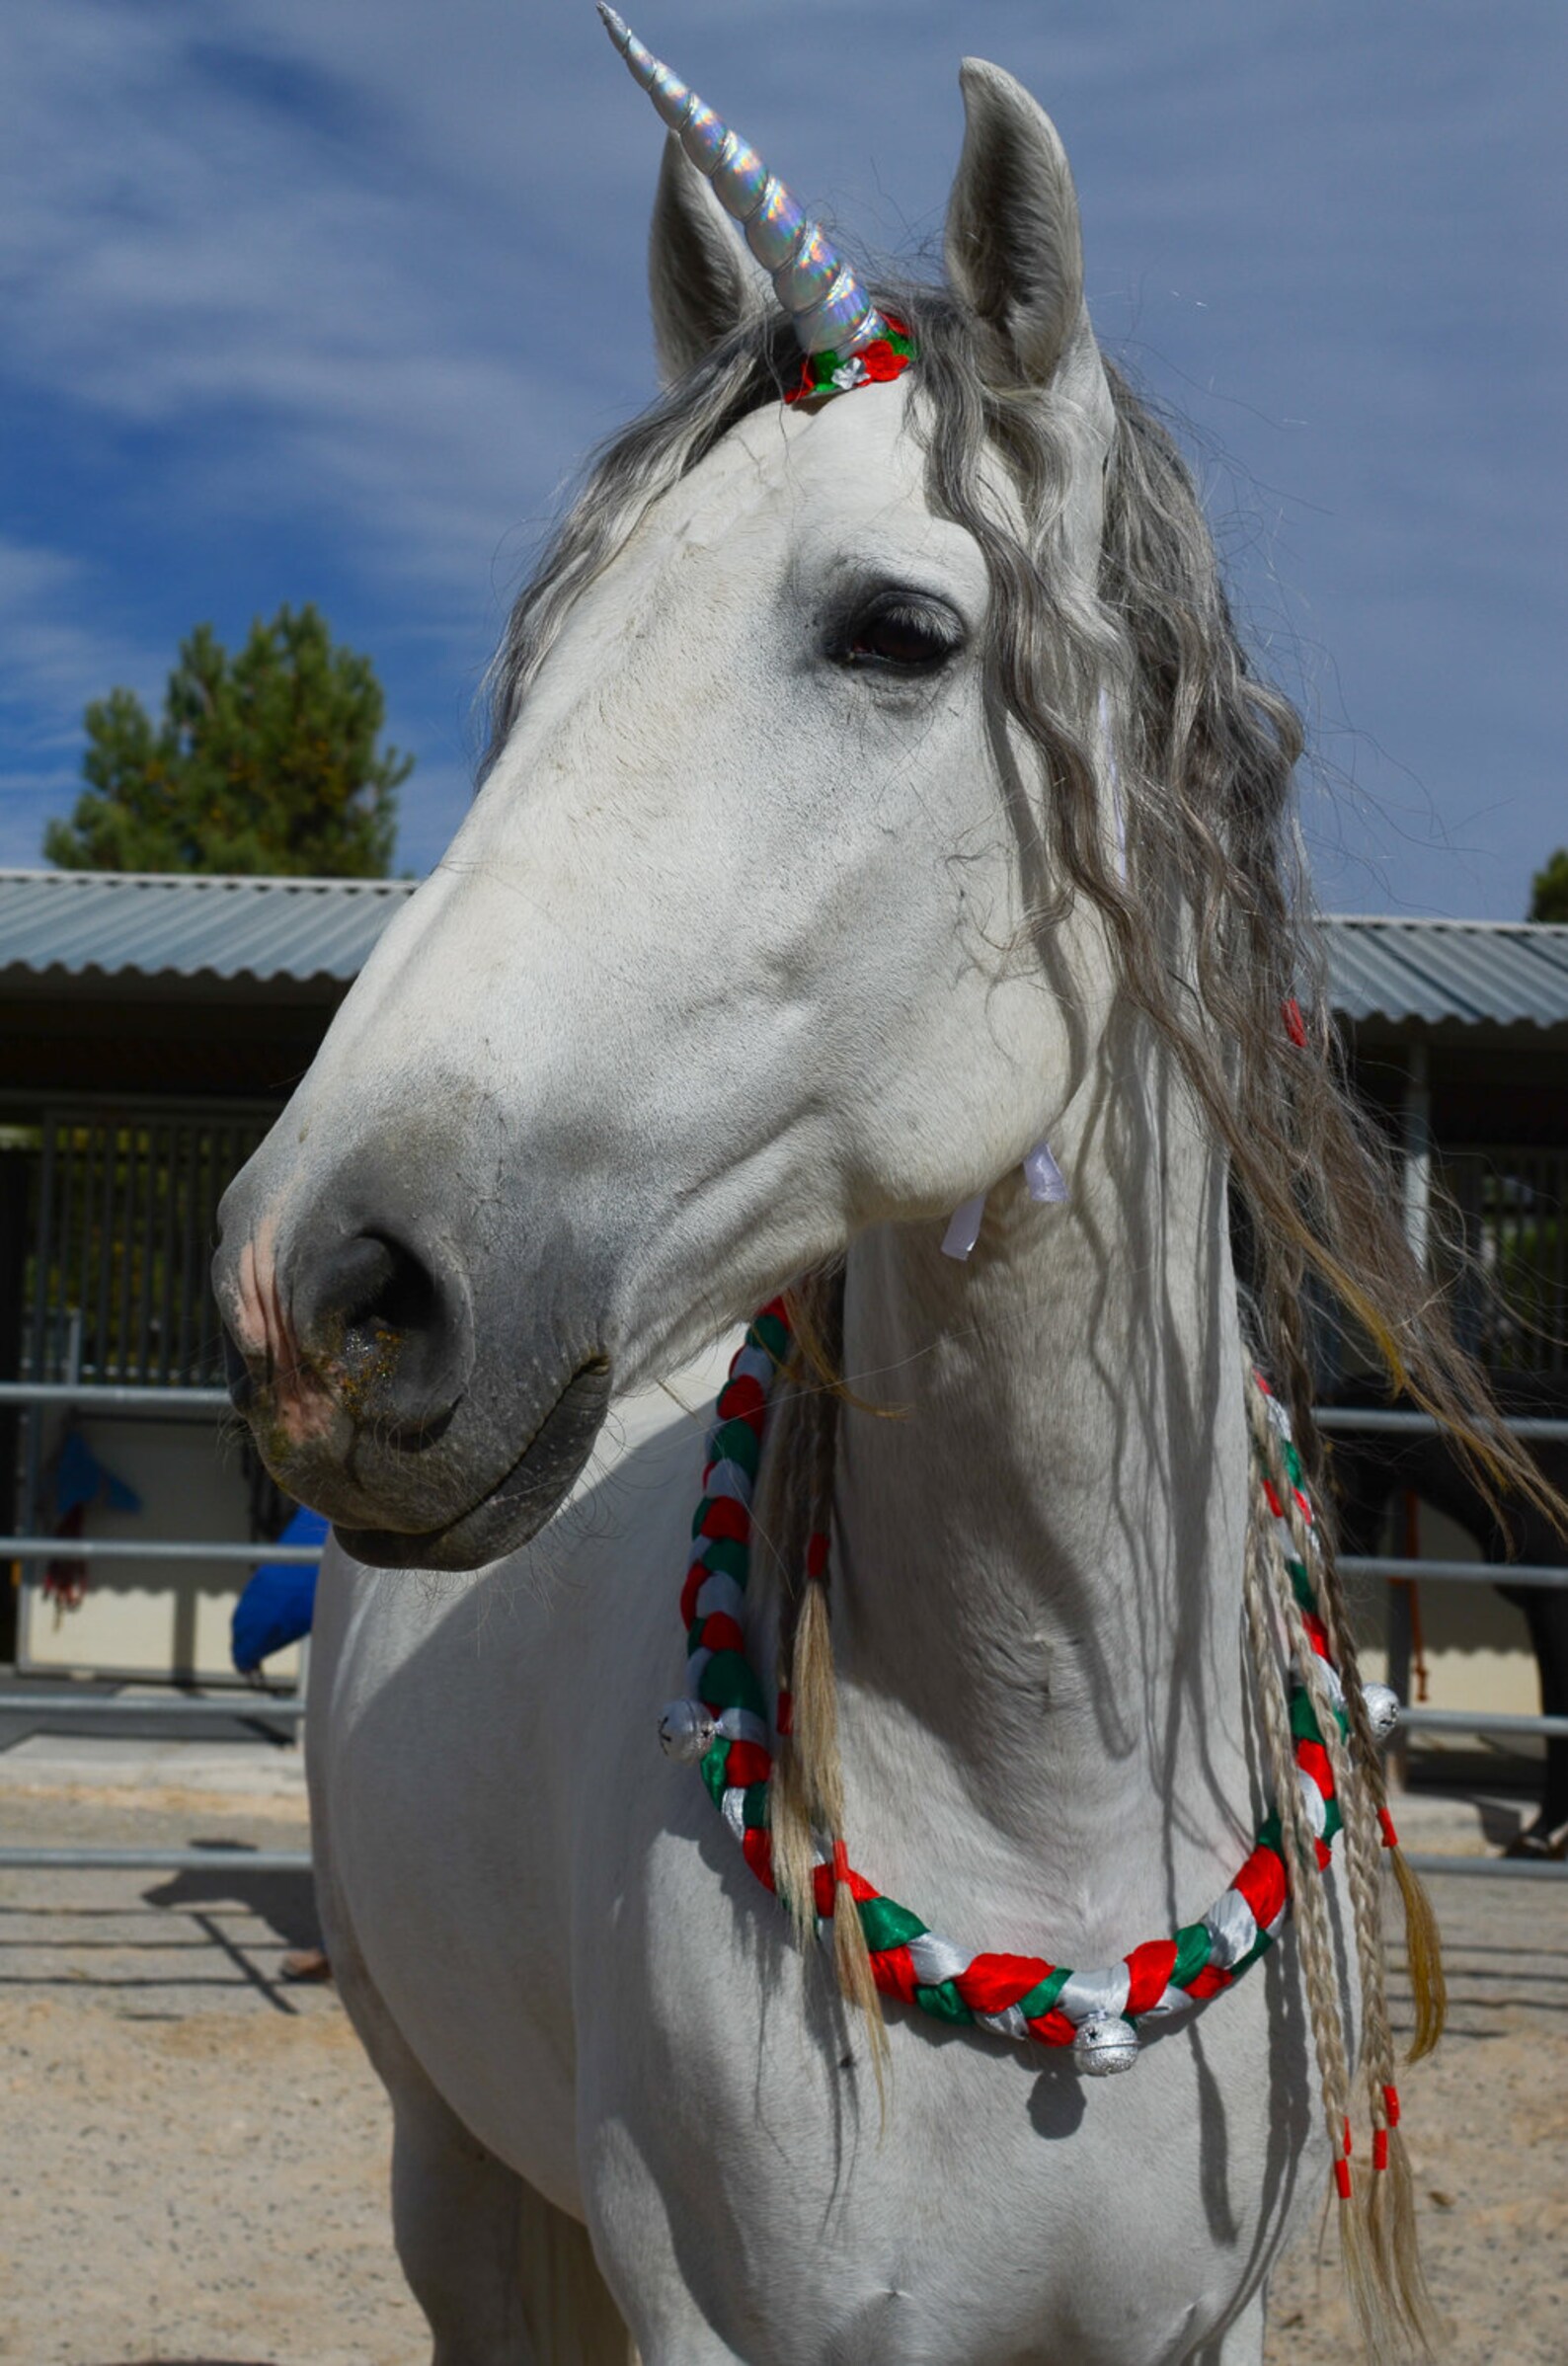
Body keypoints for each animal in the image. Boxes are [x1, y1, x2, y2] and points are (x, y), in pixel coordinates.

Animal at [214, 31, 1457, 2364]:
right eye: (541, 665)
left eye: (895, 628)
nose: (323, 1290)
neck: (1045, 1812)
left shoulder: (1200, 2329)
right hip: (454, 2179)